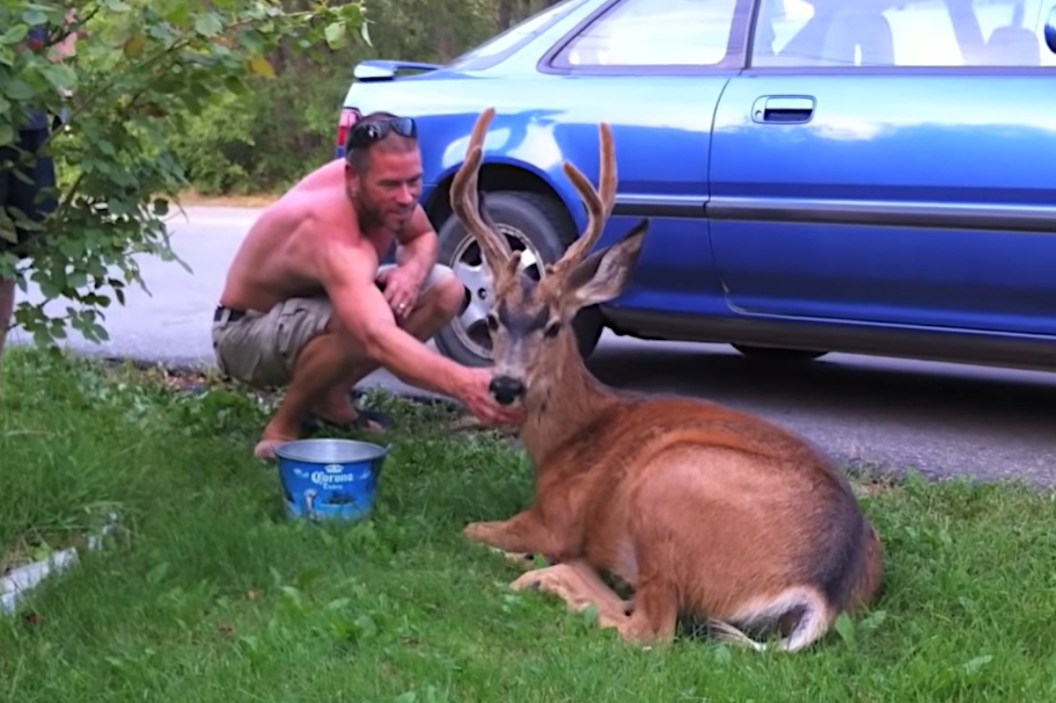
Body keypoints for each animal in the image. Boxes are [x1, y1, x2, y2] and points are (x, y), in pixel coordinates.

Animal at [449, 107, 884, 652]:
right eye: (492, 320)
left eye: (553, 325)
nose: (506, 386)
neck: (571, 436)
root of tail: (823, 589)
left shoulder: (552, 520)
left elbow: (470, 530)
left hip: (669, 487)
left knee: (651, 627)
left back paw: (546, 575)